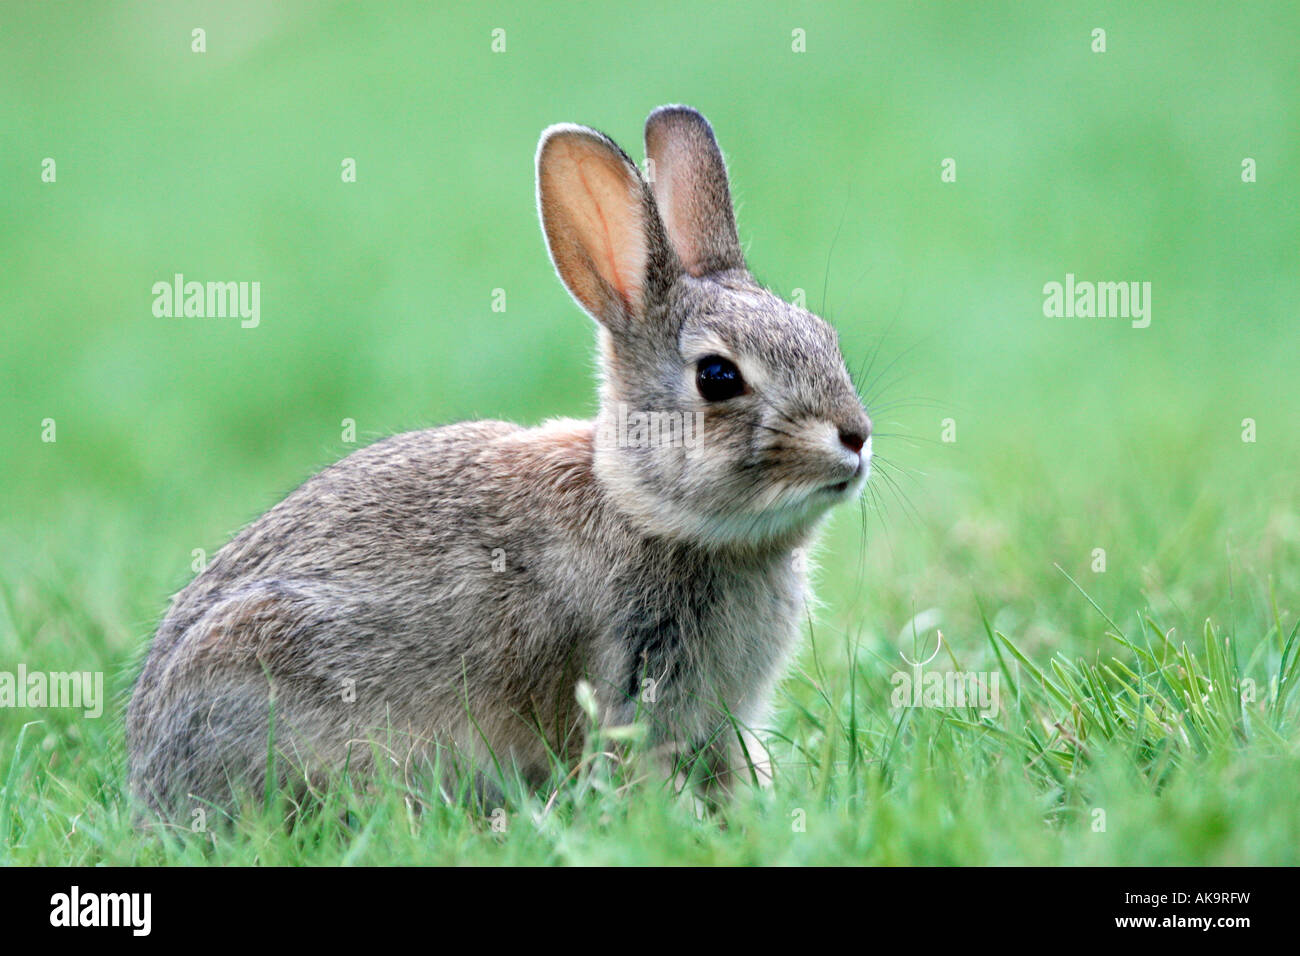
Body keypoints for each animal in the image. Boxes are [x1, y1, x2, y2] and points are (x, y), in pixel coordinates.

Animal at [126, 105, 872, 819]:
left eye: (825, 337)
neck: (645, 512)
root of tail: (149, 776)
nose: (857, 436)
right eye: (718, 377)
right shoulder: (617, 675)